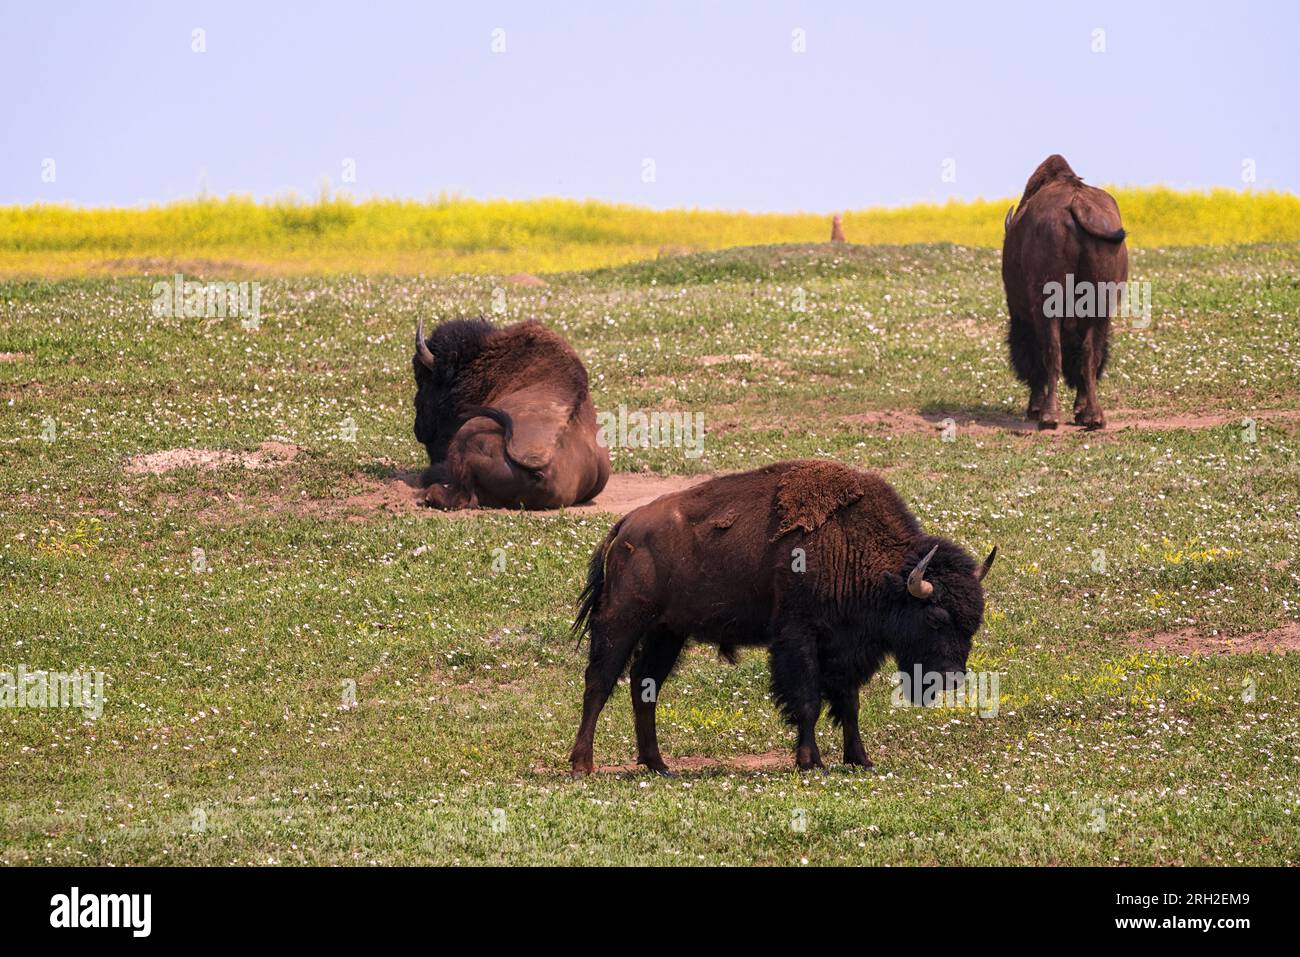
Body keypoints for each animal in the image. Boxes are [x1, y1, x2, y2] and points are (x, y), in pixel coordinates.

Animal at [569, 459, 996, 774]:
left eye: (973, 622)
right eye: (936, 617)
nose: (951, 678)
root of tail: (624, 527)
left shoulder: (845, 650)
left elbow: (848, 704)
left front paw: (861, 760)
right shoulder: (798, 637)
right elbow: (807, 701)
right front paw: (810, 761)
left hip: (667, 633)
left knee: (646, 685)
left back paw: (658, 765)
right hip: (622, 622)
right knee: (599, 682)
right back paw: (582, 766)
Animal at [1003, 154, 1128, 430]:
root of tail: (1076, 203)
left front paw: (1035, 408)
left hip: (1047, 309)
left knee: (1052, 353)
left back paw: (1048, 416)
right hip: (1101, 309)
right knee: (1090, 354)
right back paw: (1093, 417)